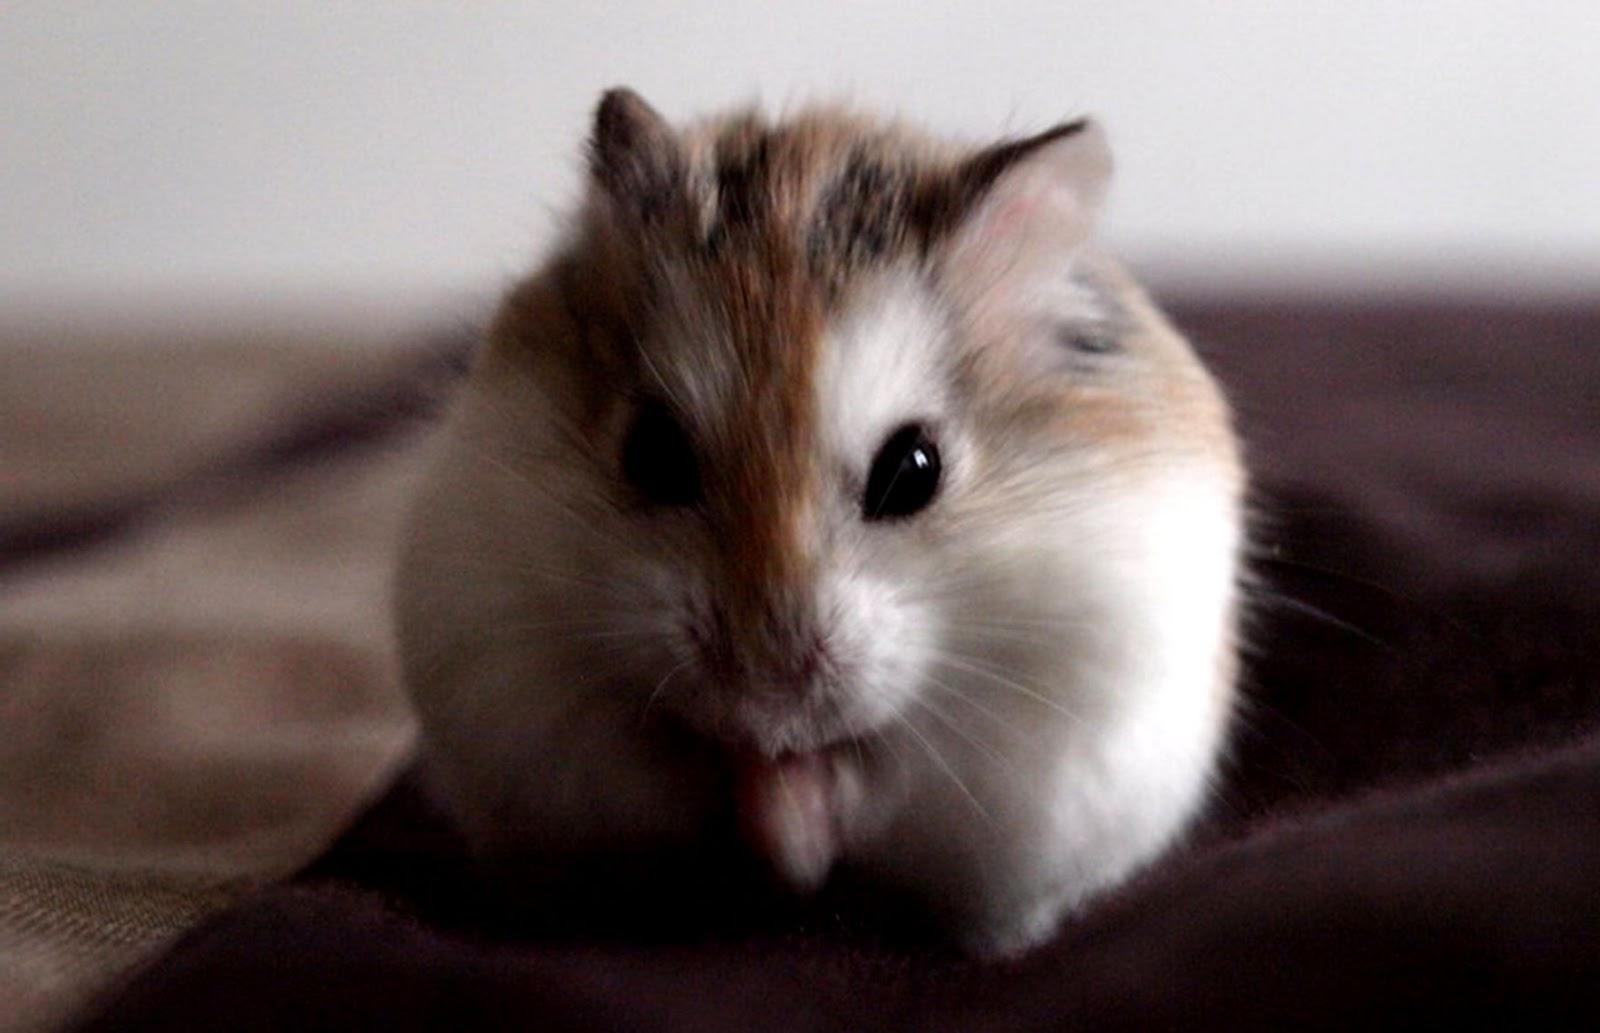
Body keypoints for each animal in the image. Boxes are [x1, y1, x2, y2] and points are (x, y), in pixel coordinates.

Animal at [395, 88, 1245, 957]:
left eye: (914, 470)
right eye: (652, 453)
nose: (764, 704)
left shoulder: (1027, 740)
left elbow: (866, 786)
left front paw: (784, 798)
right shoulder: (528, 691)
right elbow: (670, 776)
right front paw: (753, 780)